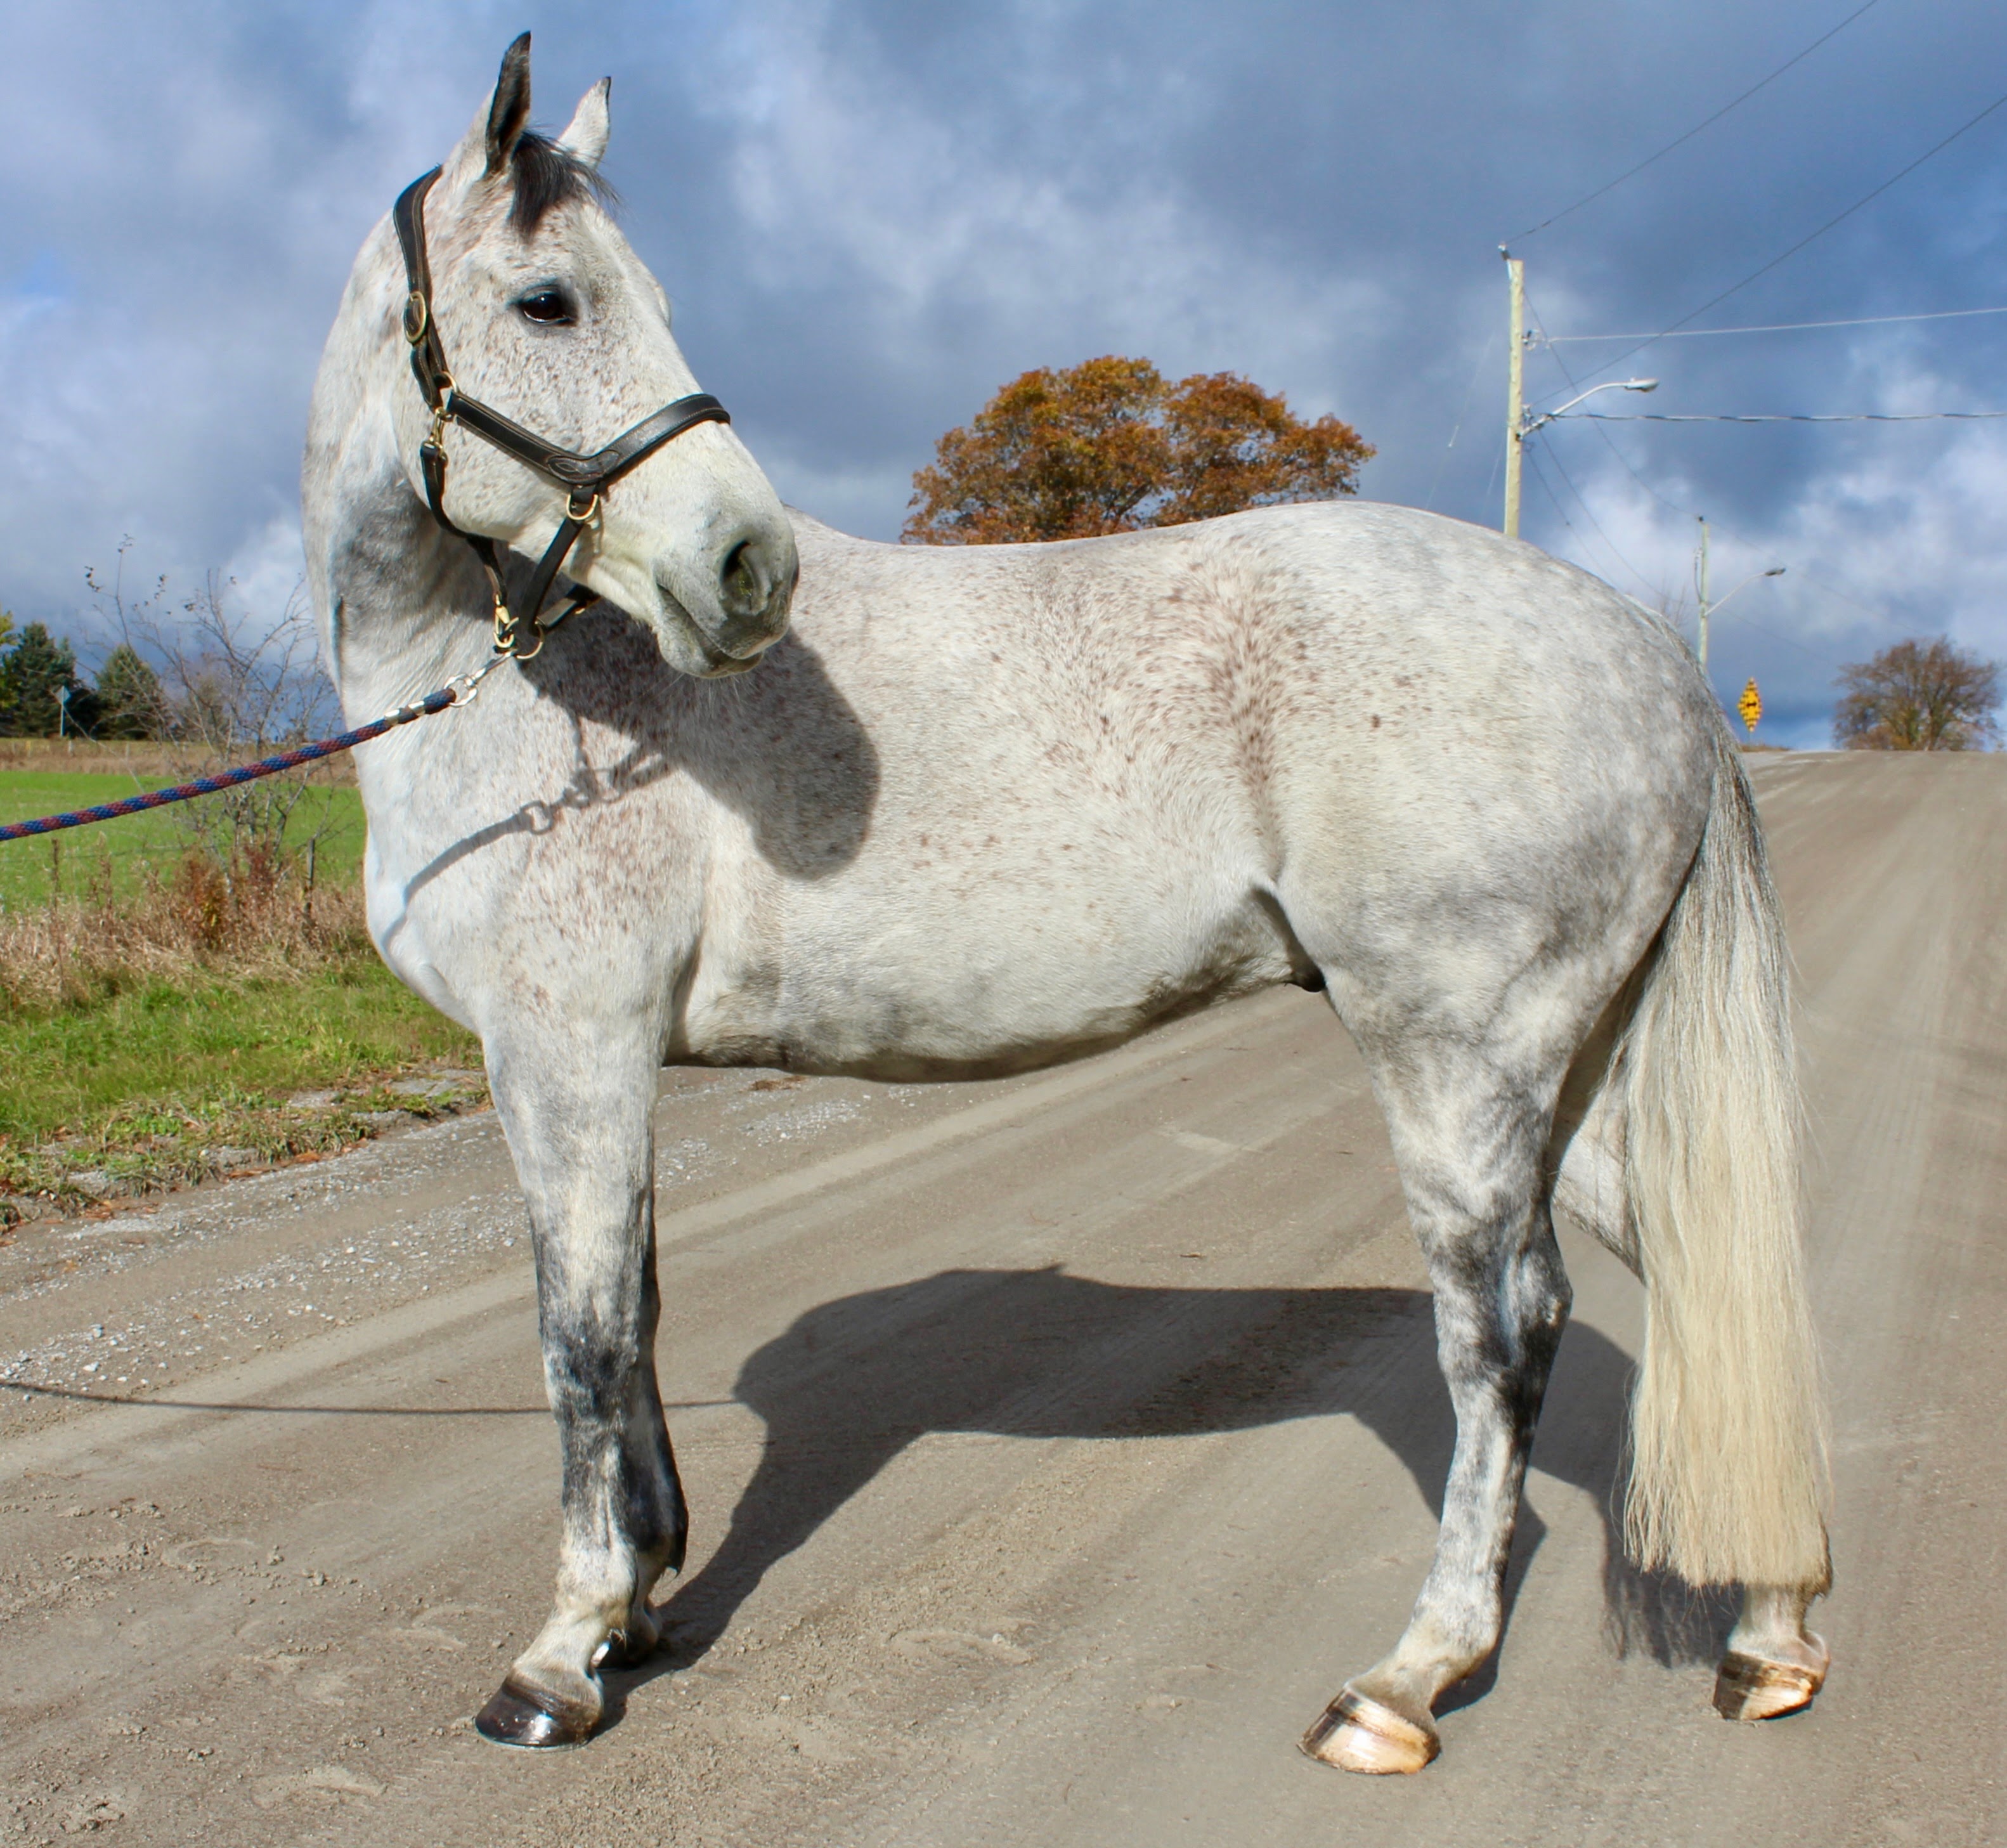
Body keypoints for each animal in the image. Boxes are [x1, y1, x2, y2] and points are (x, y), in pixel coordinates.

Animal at [303, 35, 1831, 1773]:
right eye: (552, 299)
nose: (750, 568)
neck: (546, 690)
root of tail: (1650, 657)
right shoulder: (601, 1068)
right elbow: (632, 1311)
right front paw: (637, 1600)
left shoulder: (562, 1054)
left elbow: (581, 1338)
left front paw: (561, 1657)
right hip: (1565, 1085)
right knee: (1691, 1286)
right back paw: (1770, 1633)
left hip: (1458, 1069)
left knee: (1498, 1335)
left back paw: (1408, 1677)